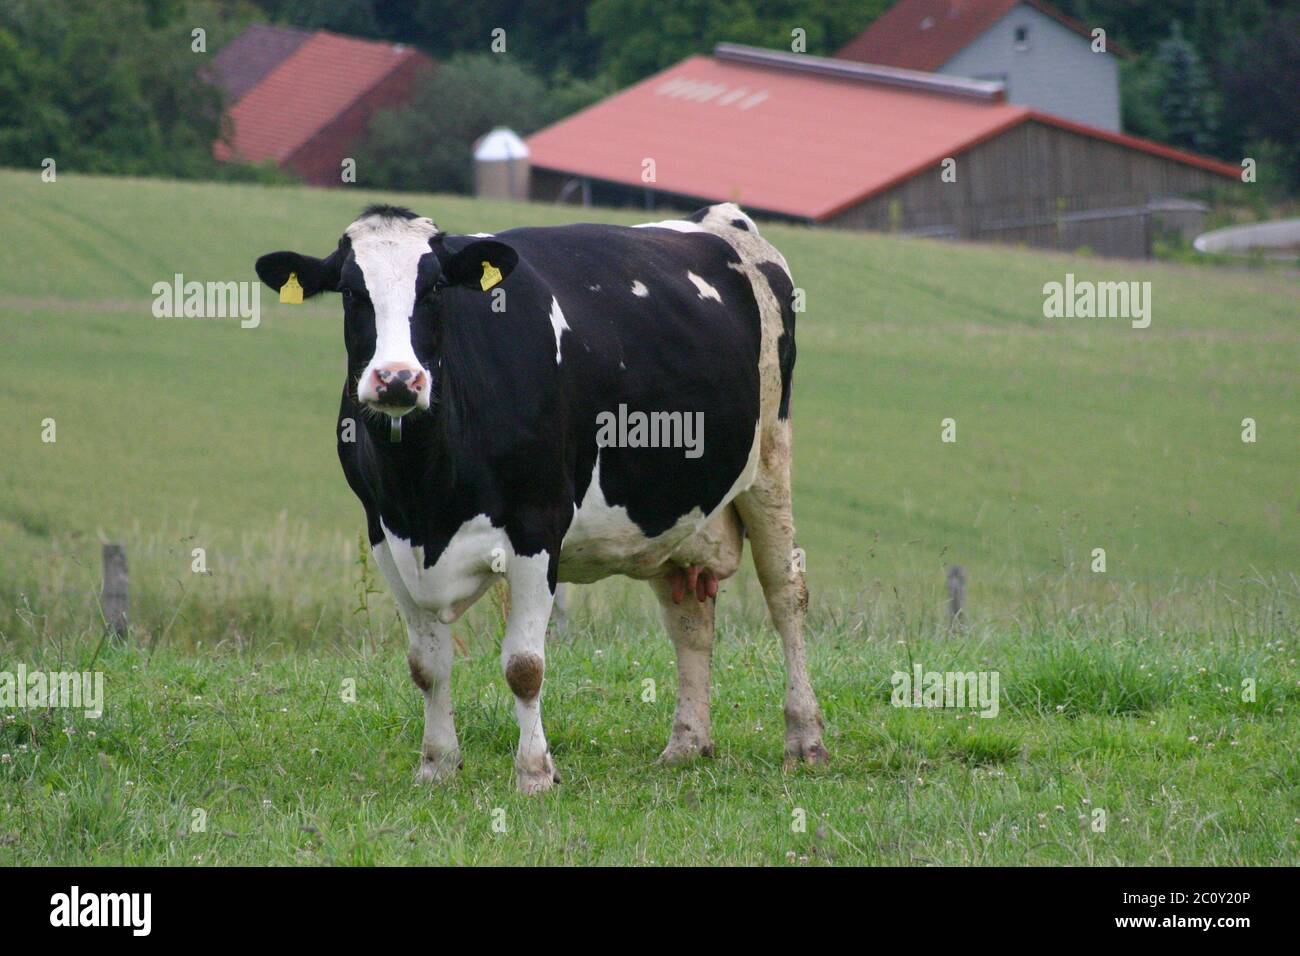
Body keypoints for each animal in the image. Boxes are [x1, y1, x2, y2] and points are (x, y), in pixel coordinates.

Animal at [254, 202, 827, 793]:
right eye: (350, 291)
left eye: (434, 288)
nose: (396, 379)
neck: (425, 488)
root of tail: (714, 217)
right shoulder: (385, 535)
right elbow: (426, 665)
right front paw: (436, 765)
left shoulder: (537, 526)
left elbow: (524, 666)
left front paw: (533, 773)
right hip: (668, 512)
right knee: (690, 619)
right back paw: (686, 745)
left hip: (770, 462)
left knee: (786, 594)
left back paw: (804, 739)